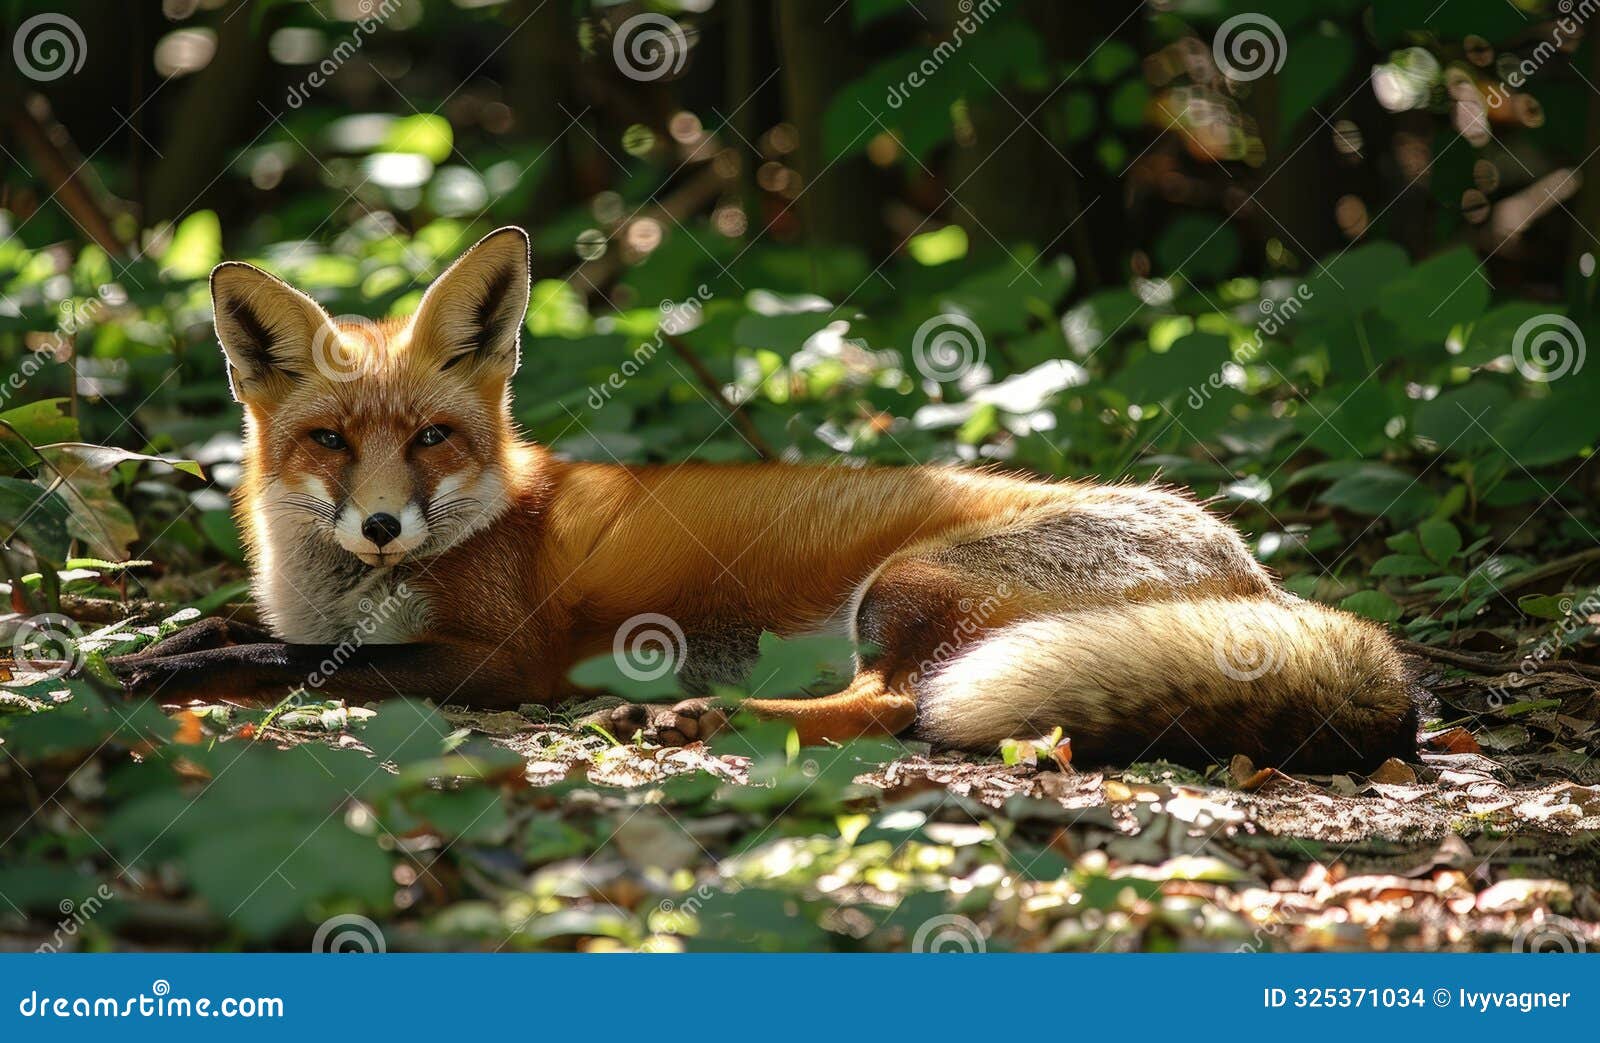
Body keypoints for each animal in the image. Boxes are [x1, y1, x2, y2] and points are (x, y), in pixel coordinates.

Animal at [105, 226, 1418, 771]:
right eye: (328, 441)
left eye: (431, 437)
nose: (381, 524)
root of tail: (1256, 572)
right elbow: (238, 627)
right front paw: (155, 648)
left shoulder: (498, 657)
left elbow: (277, 660)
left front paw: (167, 677)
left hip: (907, 589)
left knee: (900, 706)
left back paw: (700, 720)